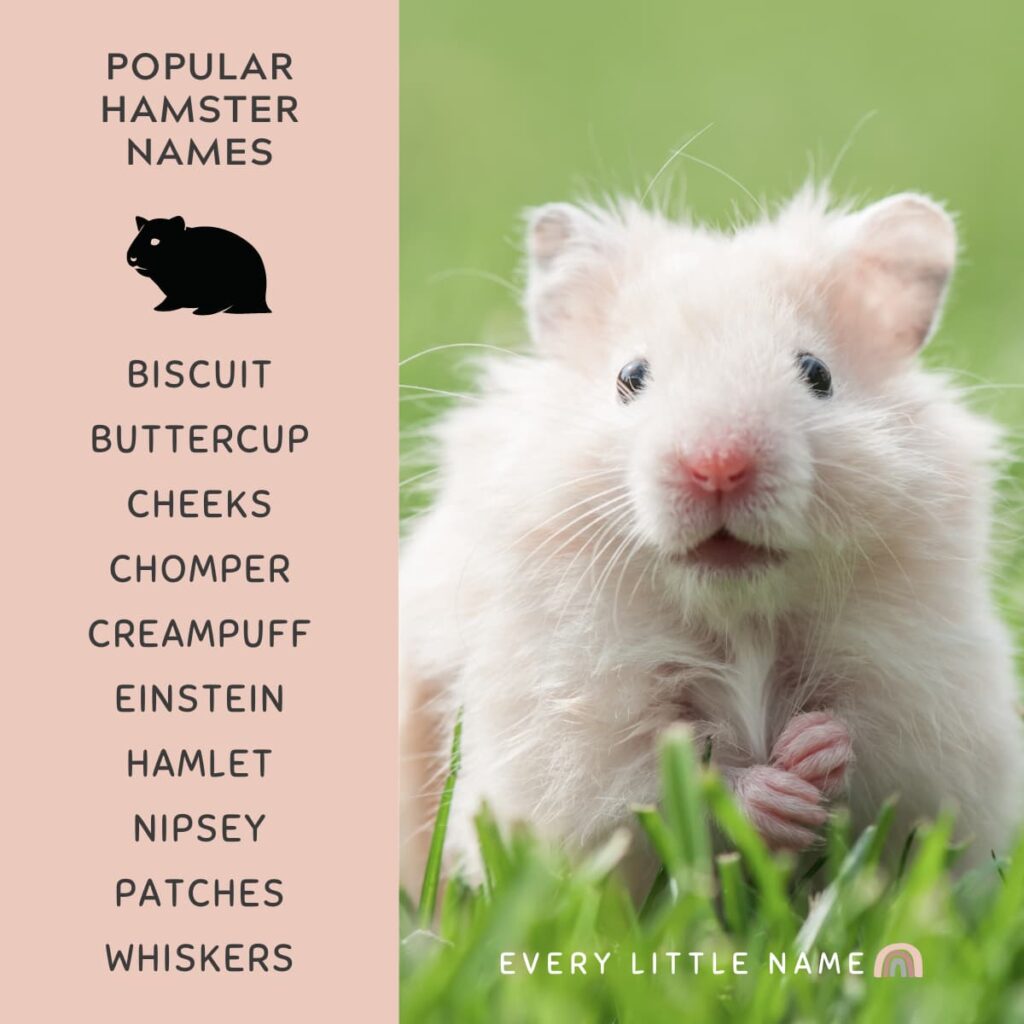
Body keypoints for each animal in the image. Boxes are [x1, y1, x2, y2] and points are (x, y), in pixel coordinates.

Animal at [127, 216, 271, 315]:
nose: (132, 257)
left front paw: (200, 312)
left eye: (155, 241)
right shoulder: (174, 294)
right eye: (137, 237)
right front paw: (160, 308)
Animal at [400, 187, 1024, 894]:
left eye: (816, 372)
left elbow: (870, 744)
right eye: (631, 376)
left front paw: (812, 749)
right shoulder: (574, 740)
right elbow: (670, 785)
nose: (719, 465)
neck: (738, 613)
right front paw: (777, 798)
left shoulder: (929, 706)